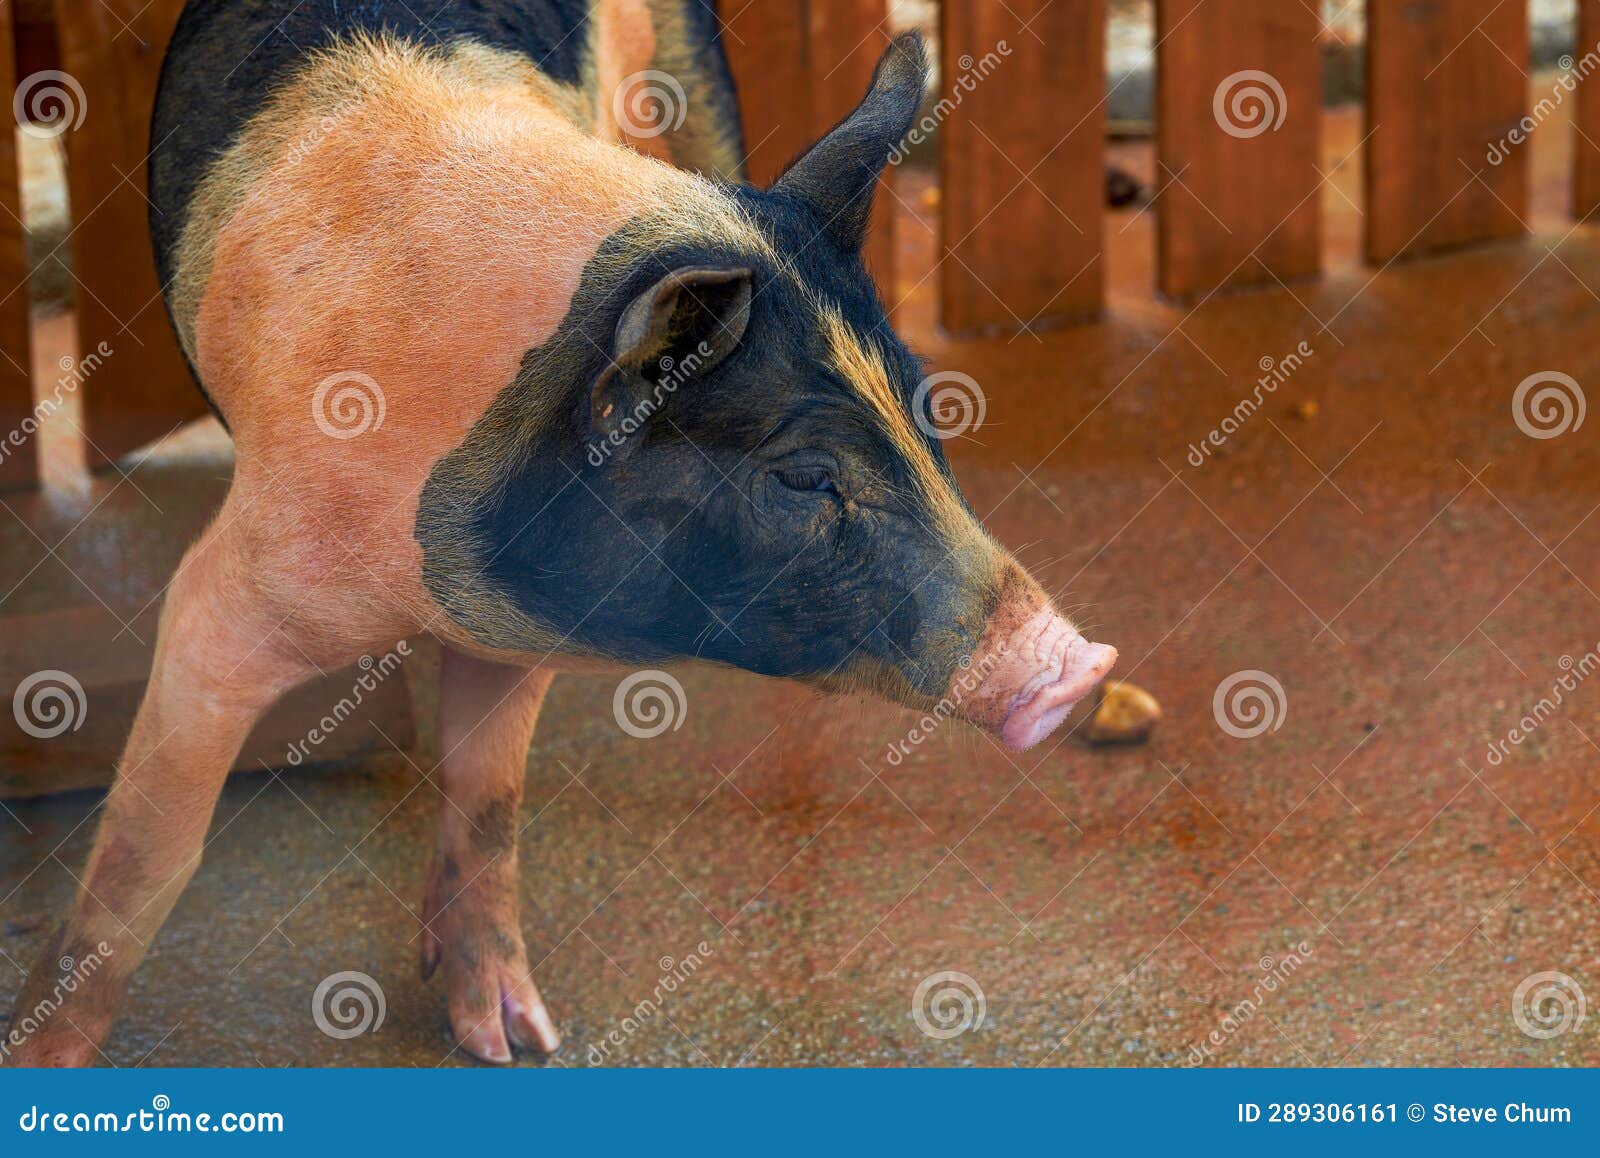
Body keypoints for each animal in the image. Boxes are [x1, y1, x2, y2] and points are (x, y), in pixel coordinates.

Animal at [5, 0, 1115, 1066]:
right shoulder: (228, 593)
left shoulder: (510, 623)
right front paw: (42, 1056)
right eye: (804, 475)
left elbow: (490, 797)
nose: (1079, 664)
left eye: (927, 409)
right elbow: (148, 854)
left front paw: (517, 1043)